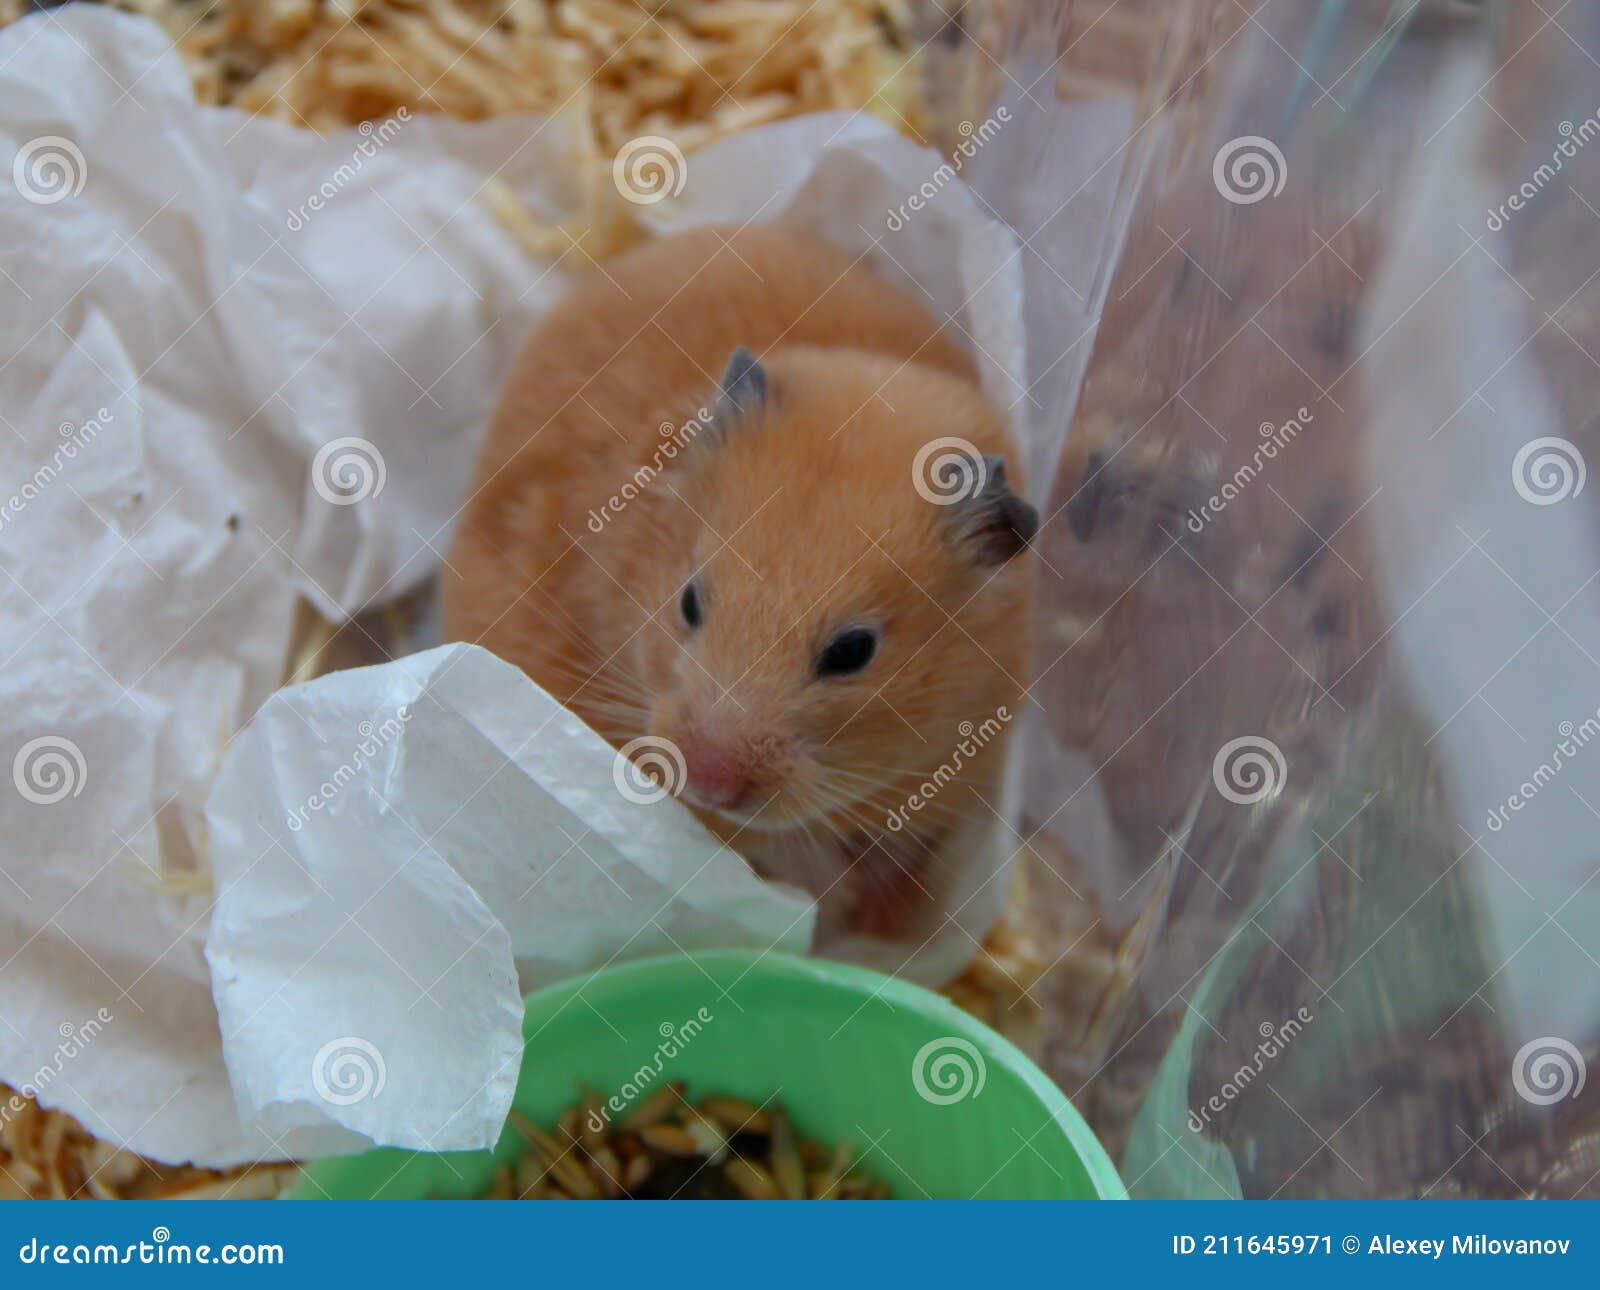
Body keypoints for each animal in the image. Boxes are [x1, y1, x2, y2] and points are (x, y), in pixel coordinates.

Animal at [443, 226, 1036, 940]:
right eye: (689, 602)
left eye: (852, 651)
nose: (708, 781)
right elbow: (773, 846)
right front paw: (841, 900)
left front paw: (887, 913)